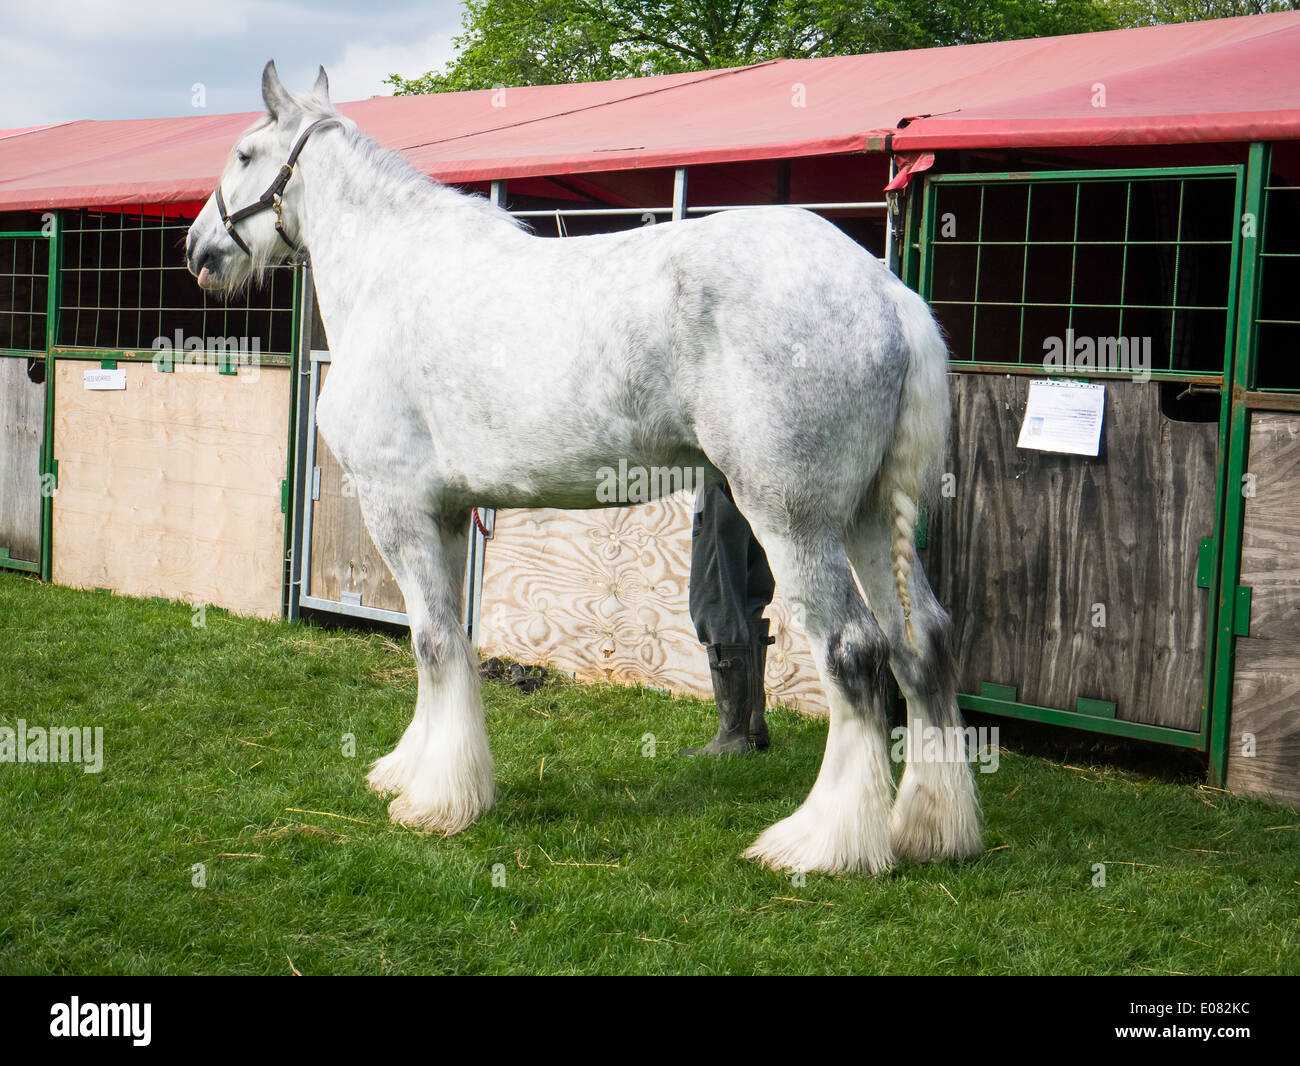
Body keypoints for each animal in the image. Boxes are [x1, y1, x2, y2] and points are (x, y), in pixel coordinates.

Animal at [185, 62, 982, 874]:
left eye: (244, 154)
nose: (197, 249)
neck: (390, 275)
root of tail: (886, 292)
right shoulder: (444, 513)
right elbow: (441, 642)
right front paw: (414, 769)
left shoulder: (395, 506)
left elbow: (433, 641)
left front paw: (438, 802)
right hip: (867, 517)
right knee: (922, 641)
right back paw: (930, 829)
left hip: (794, 519)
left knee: (852, 650)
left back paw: (822, 842)